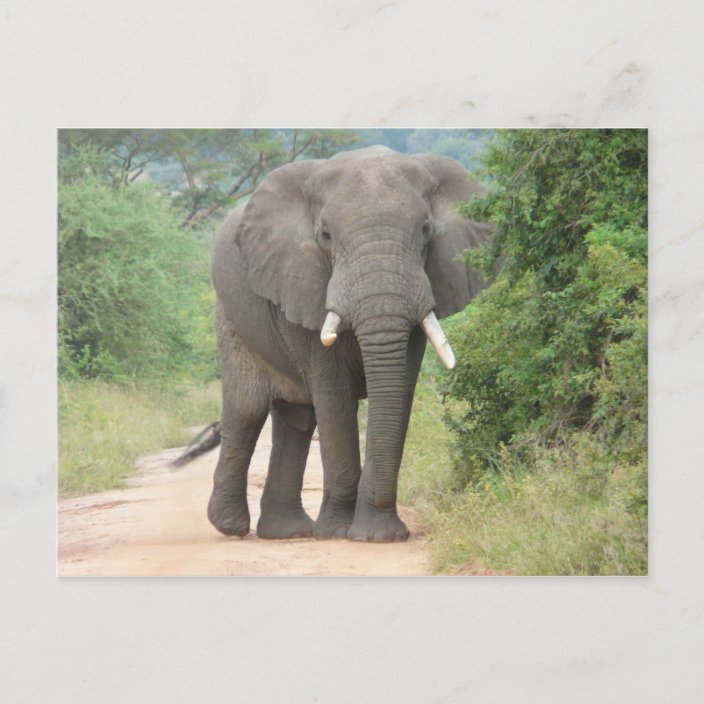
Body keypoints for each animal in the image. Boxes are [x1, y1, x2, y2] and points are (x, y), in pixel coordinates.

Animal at [207, 145, 489, 542]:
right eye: (325, 235)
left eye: (425, 230)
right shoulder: (303, 281)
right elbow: (334, 395)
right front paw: (341, 532)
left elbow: (399, 390)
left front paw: (378, 535)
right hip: (231, 318)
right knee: (247, 408)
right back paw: (231, 527)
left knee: (296, 418)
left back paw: (287, 532)